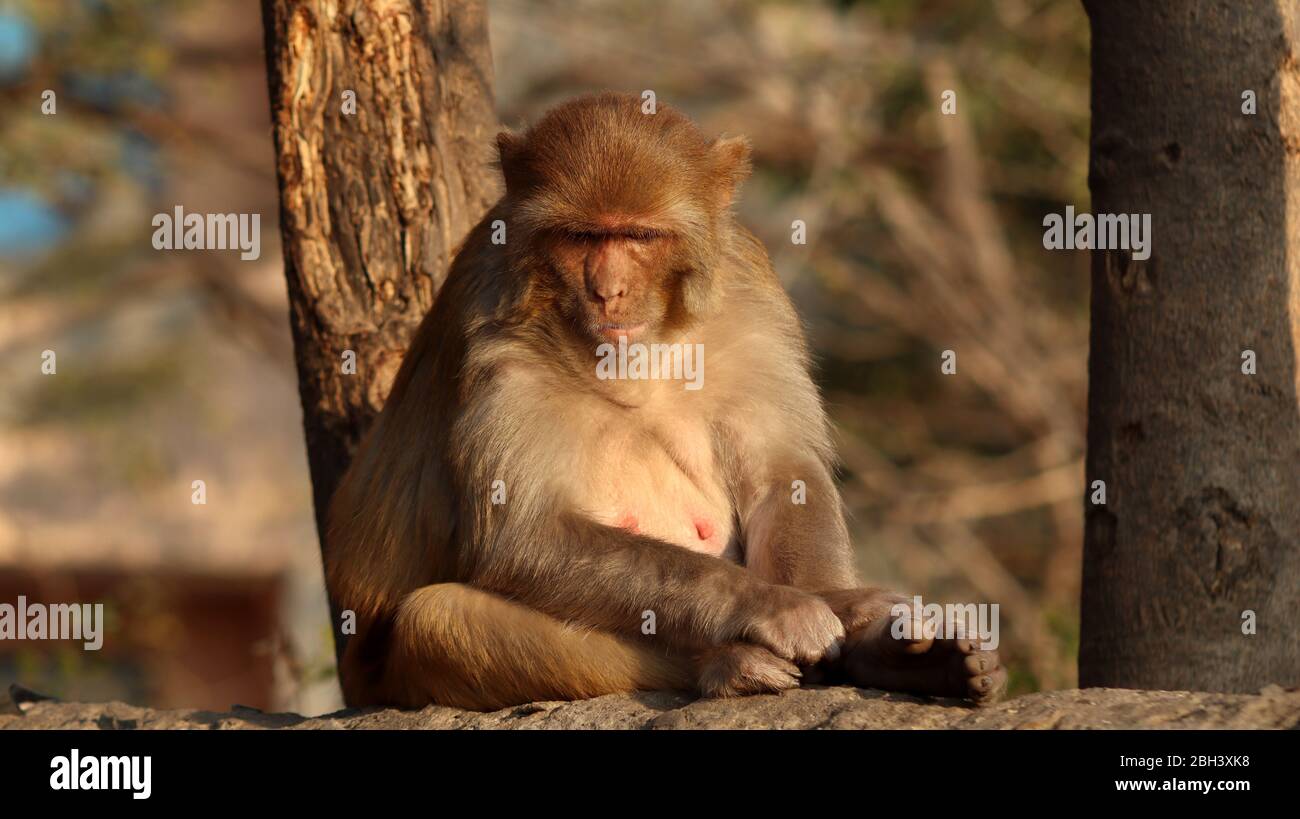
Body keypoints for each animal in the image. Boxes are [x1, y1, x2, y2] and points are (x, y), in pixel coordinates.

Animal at [324, 92, 1007, 711]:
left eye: (641, 234)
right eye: (580, 236)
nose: (607, 289)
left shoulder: (749, 288)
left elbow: (782, 474)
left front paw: (842, 610)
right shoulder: (495, 333)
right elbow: (523, 536)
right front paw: (774, 605)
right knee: (438, 619)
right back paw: (729, 663)